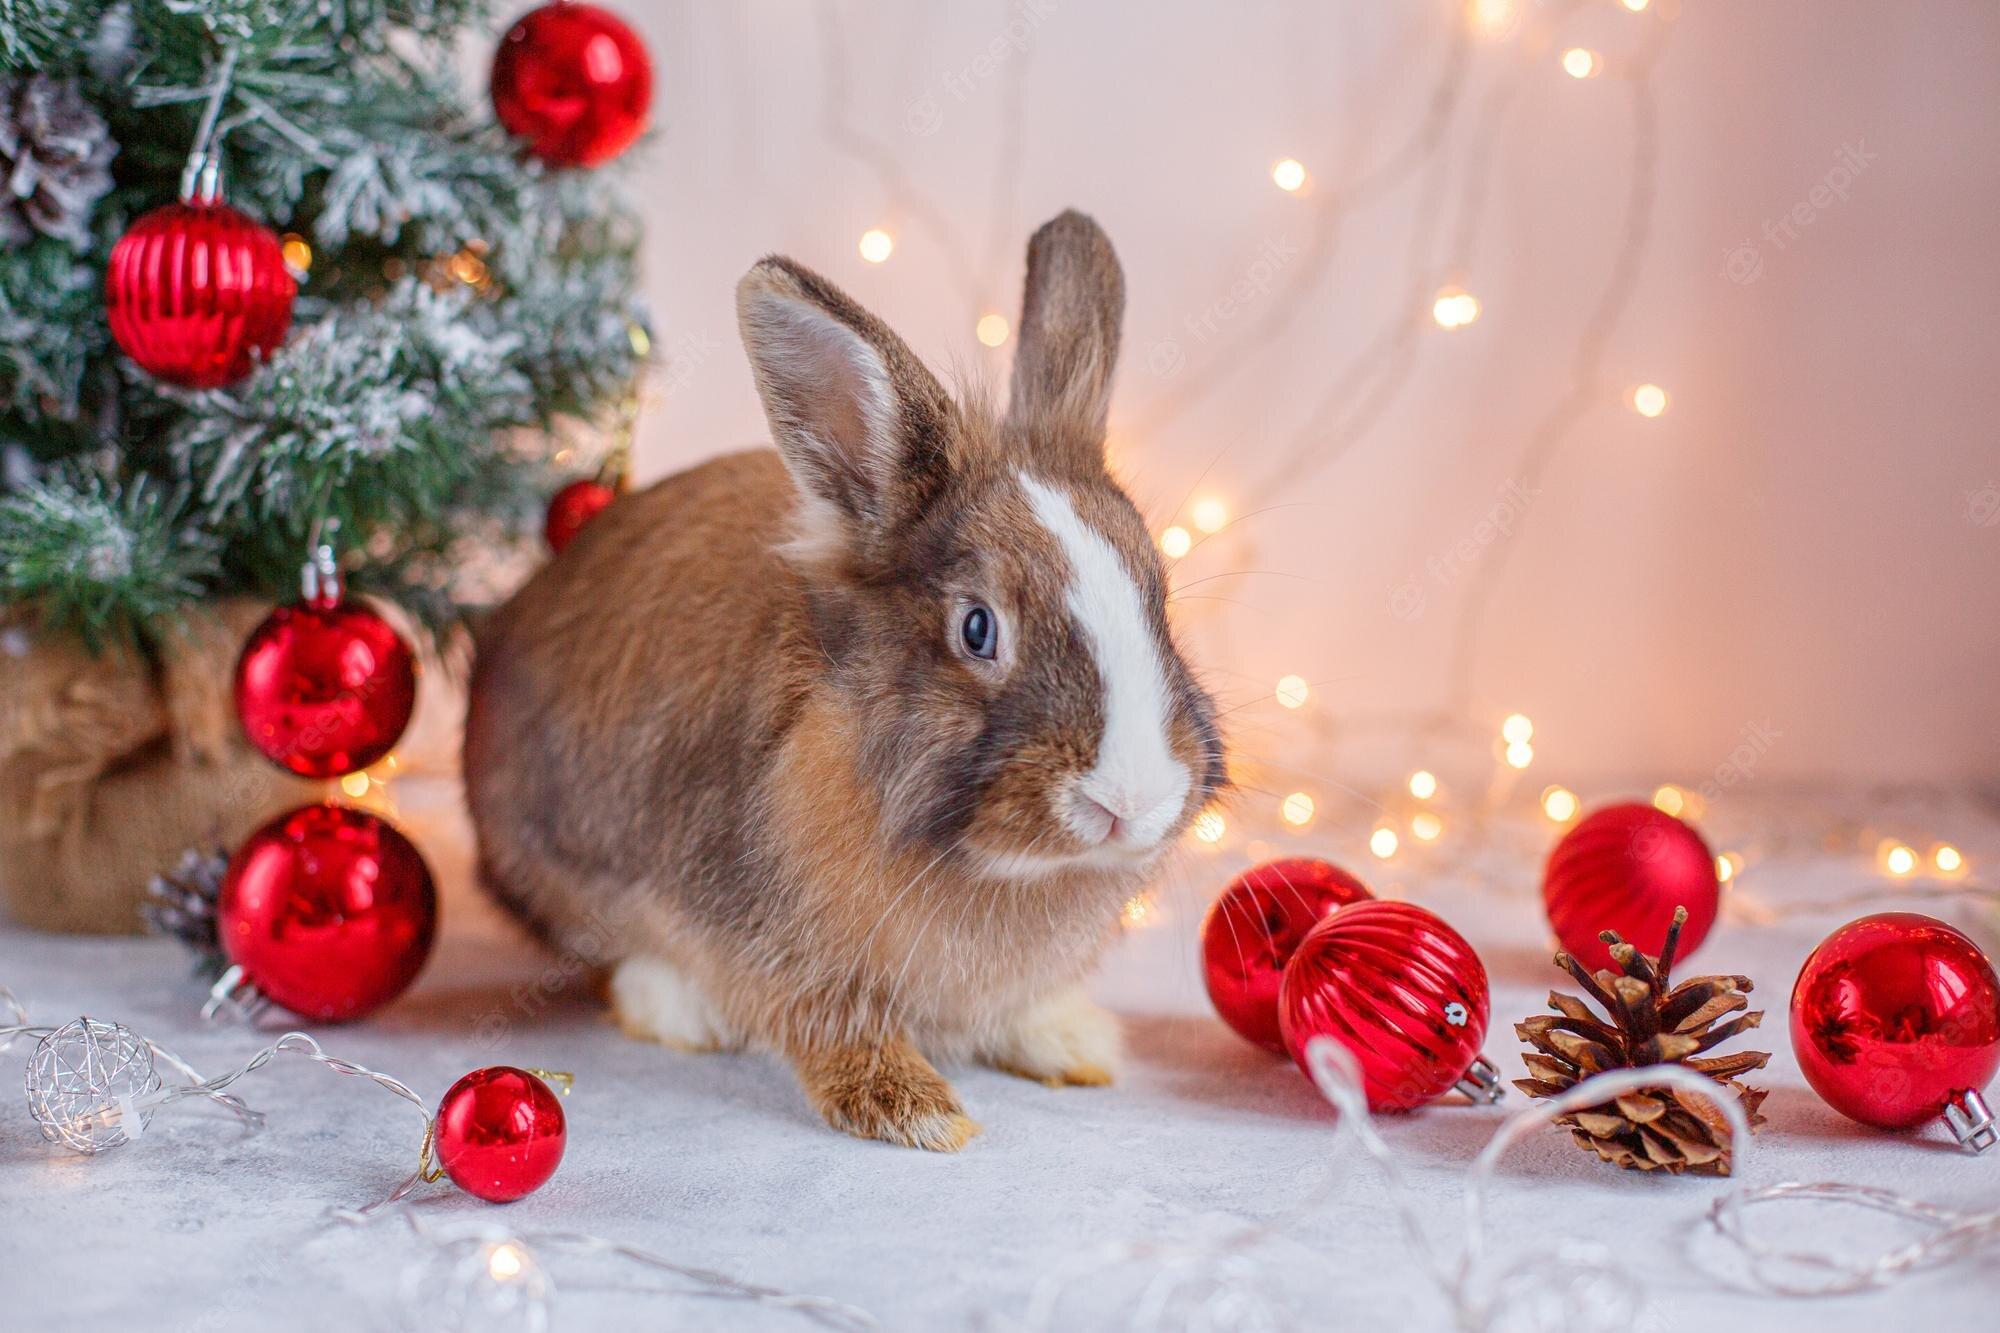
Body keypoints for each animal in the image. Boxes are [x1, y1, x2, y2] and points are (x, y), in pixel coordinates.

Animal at [464, 210, 1225, 1150]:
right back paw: (680, 1008)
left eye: (1160, 598)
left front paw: (1072, 1042)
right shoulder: (764, 935)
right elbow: (825, 1021)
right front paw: (919, 1110)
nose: (1130, 800)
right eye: (978, 628)